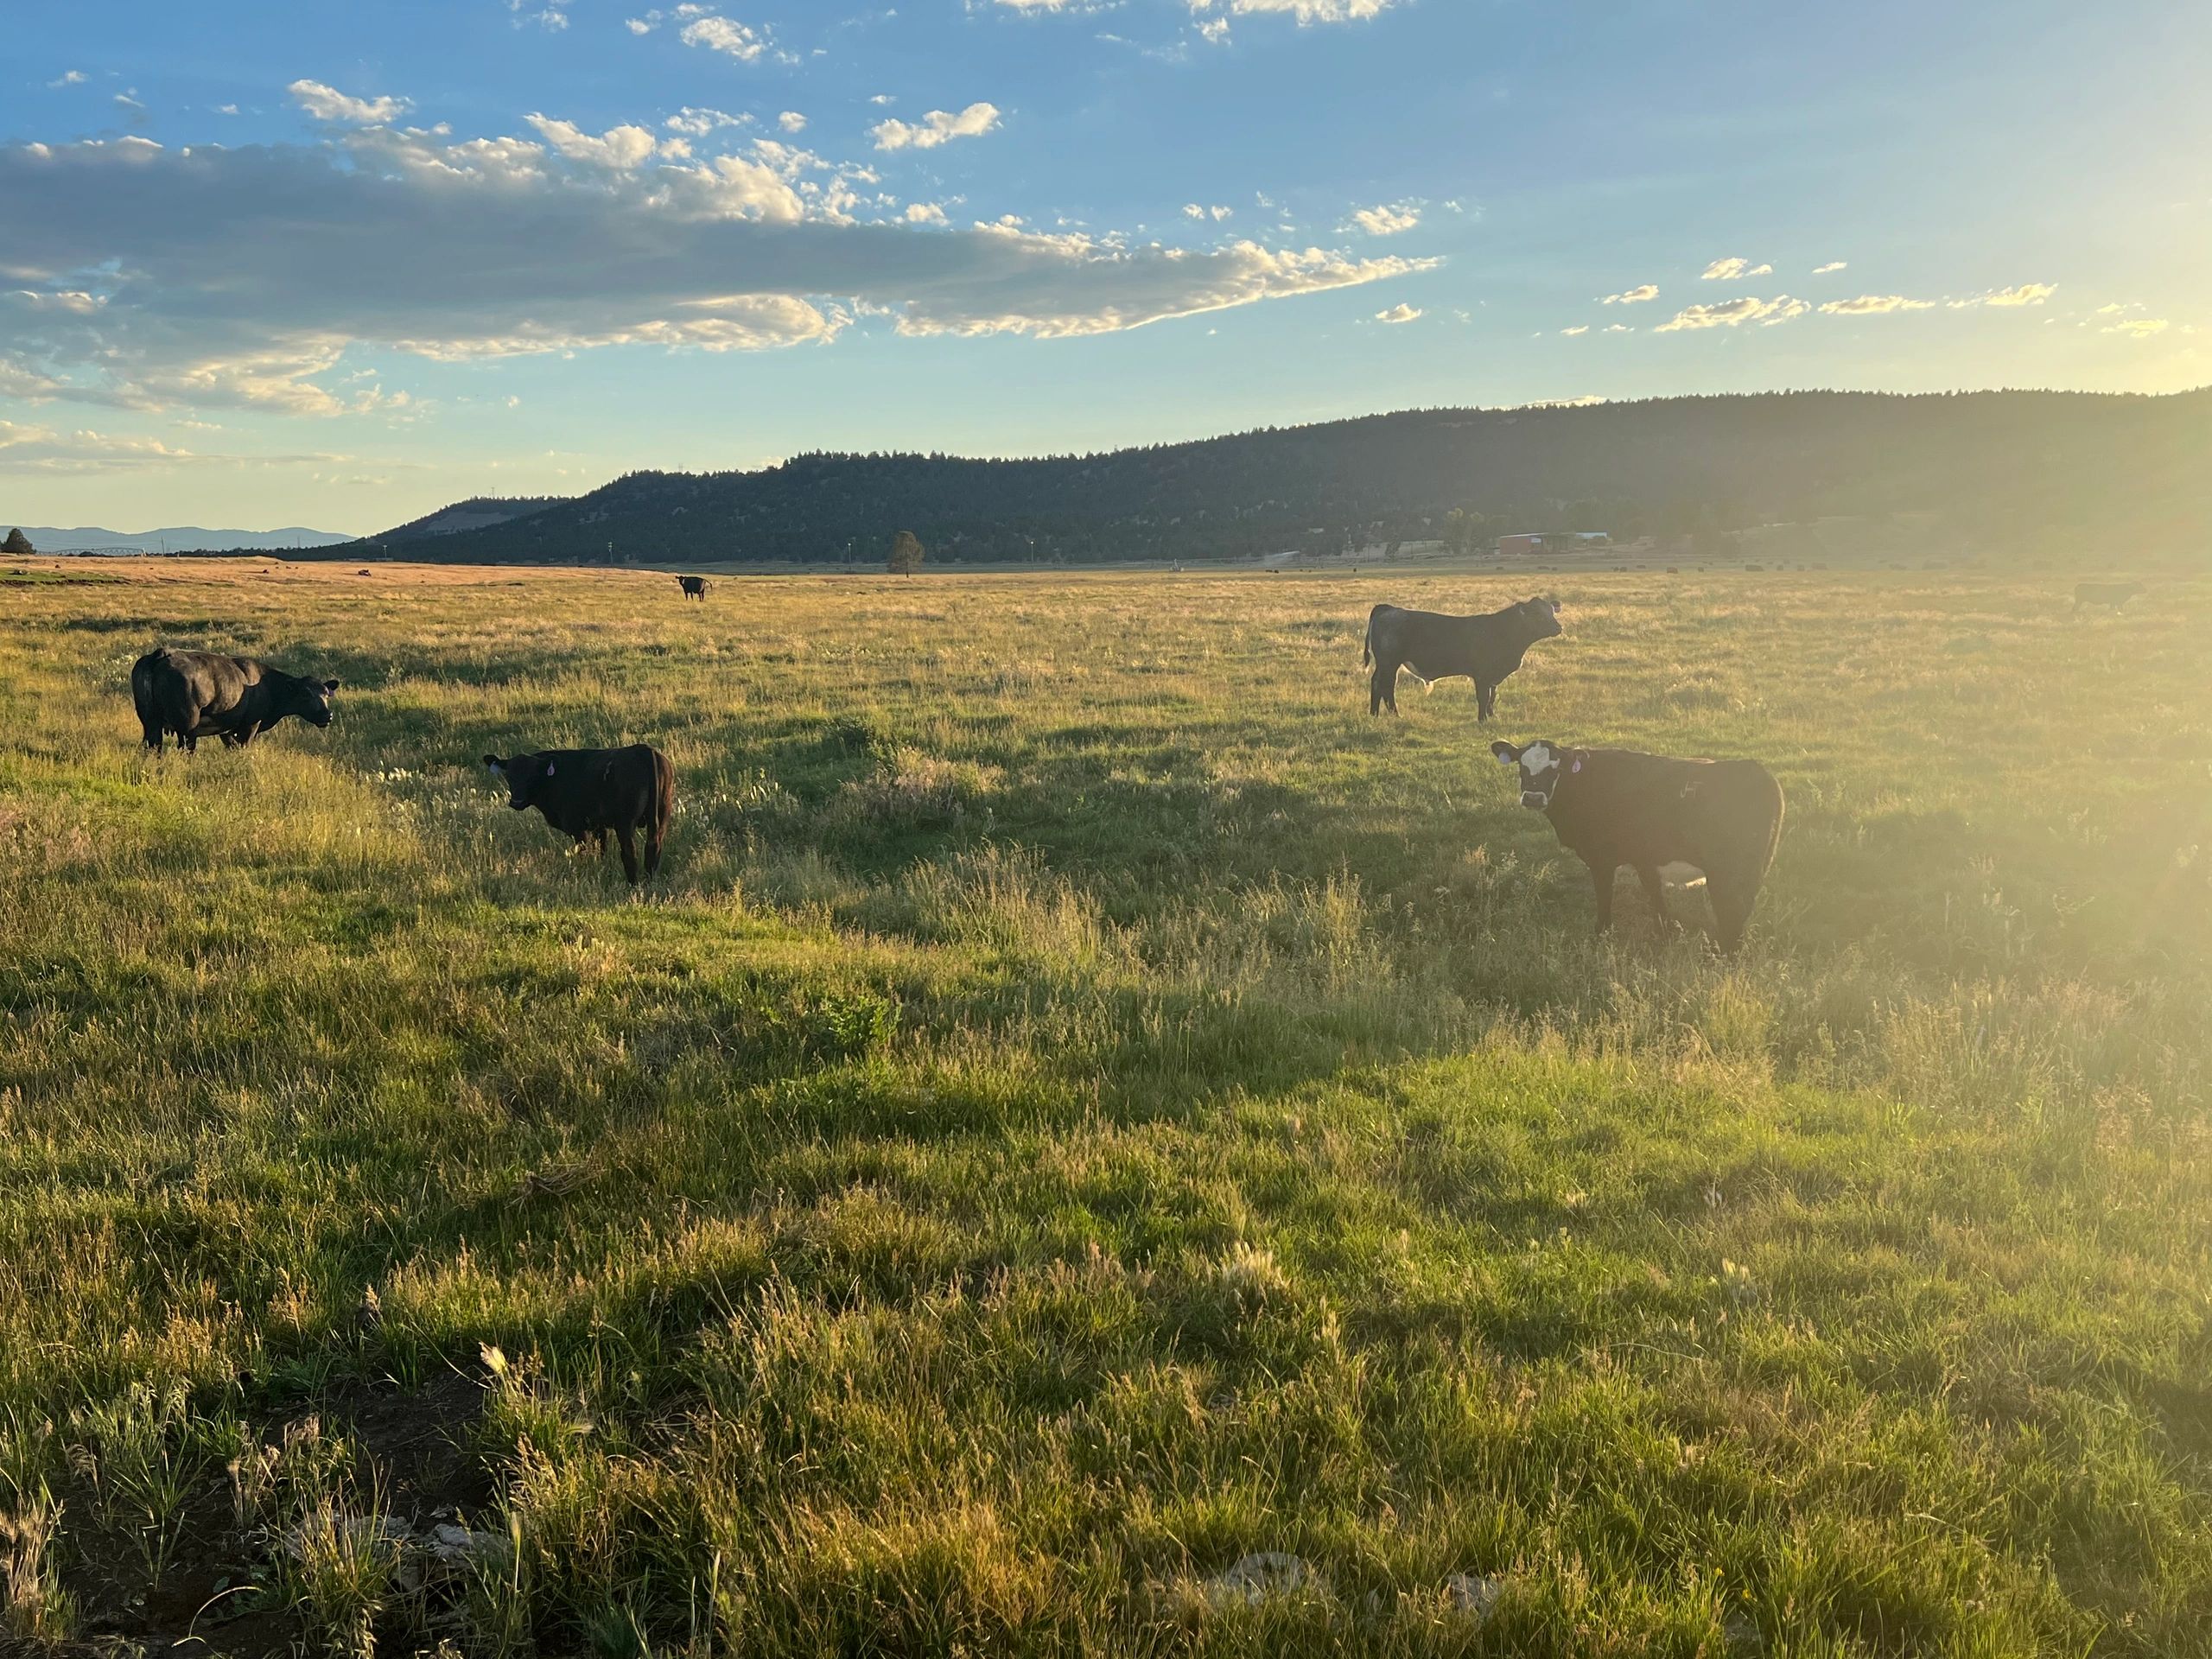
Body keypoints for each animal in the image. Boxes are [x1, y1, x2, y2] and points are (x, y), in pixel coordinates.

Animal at [131, 648, 339, 753]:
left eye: (326, 694)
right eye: (305, 694)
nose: (327, 715)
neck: (266, 684)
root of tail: (162, 653)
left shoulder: (228, 729)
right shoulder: (251, 725)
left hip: (150, 722)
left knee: (153, 747)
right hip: (187, 724)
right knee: (185, 749)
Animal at [484, 744, 675, 886]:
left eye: (532, 776)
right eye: (509, 776)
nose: (516, 802)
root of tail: (643, 750)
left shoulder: (576, 826)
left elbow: (584, 851)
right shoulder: (598, 825)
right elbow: (601, 849)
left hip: (625, 823)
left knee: (629, 852)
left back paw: (633, 884)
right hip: (662, 814)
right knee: (653, 847)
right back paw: (649, 882)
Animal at [1362, 597, 1562, 719]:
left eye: (1552, 611)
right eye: (1537, 613)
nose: (1558, 627)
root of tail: (1389, 609)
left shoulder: (1493, 677)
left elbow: (1493, 696)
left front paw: (1492, 715)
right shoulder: (1482, 675)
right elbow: (1483, 697)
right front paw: (1482, 719)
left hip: (1386, 664)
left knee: (1380, 684)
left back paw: (1375, 714)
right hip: (1389, 663)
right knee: (1385, 685)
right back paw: (1392, 714)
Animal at [1491, 738, 1784, 953]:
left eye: (1556, 769)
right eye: (1521, 767)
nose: (1532, 797)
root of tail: (1757, 771)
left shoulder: (1602, 859)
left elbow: (1605, 896)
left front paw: (1602, 933)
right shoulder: (1645, 858)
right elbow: (1654, 892)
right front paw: (1668, 930)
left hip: (1726, 870)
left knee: (1731, 912)